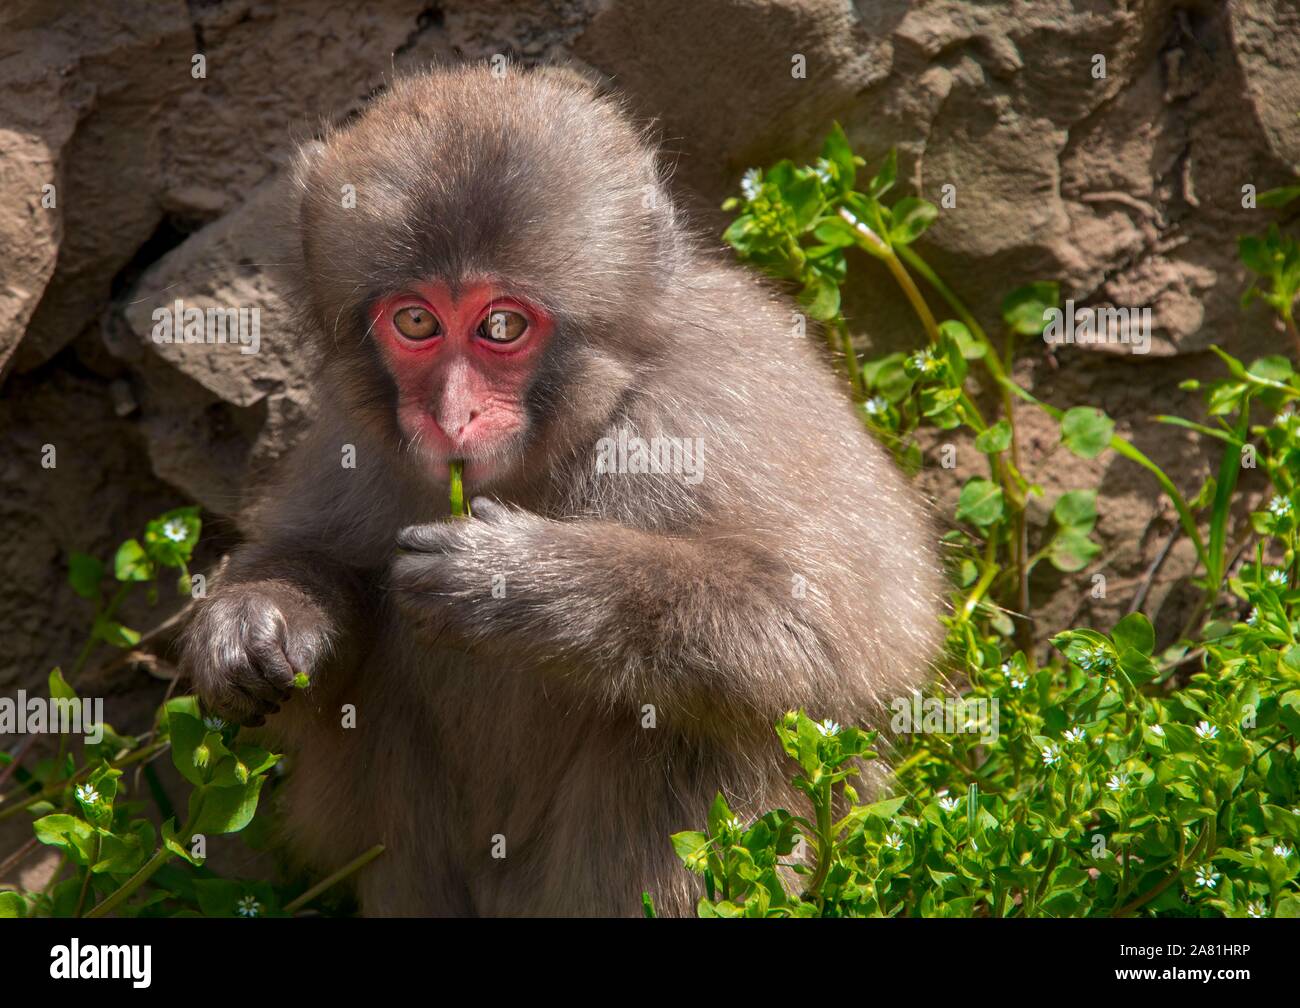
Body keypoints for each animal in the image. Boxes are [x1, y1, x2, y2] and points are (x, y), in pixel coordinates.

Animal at [179, 63, 943, 917]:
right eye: (415, 322)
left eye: (502, 327)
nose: (452, 415)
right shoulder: (351, 437)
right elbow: (322, 578)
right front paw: (259, 616)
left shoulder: (716, 396)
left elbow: (837, 625)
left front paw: (521, 584)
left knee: (698, 726)